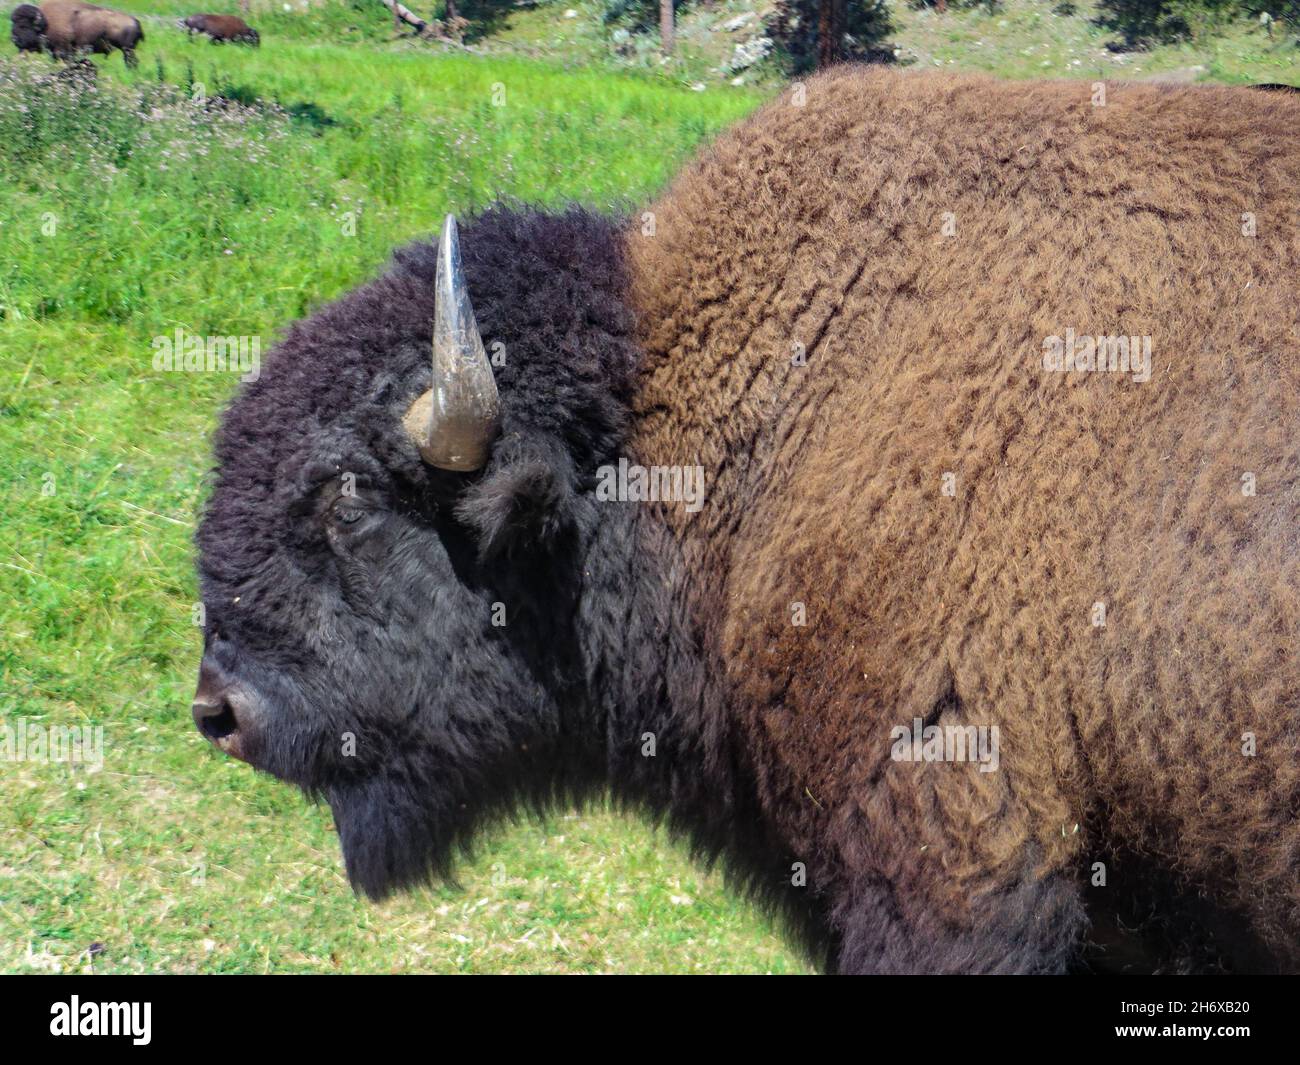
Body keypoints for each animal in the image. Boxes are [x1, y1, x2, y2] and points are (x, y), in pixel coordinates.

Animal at [11, 0, 142, 66]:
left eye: (23, 26)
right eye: (13, 23)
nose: (14, 39)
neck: (46, 22)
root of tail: (133, 20)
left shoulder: (62, 51)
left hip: (127, 49)